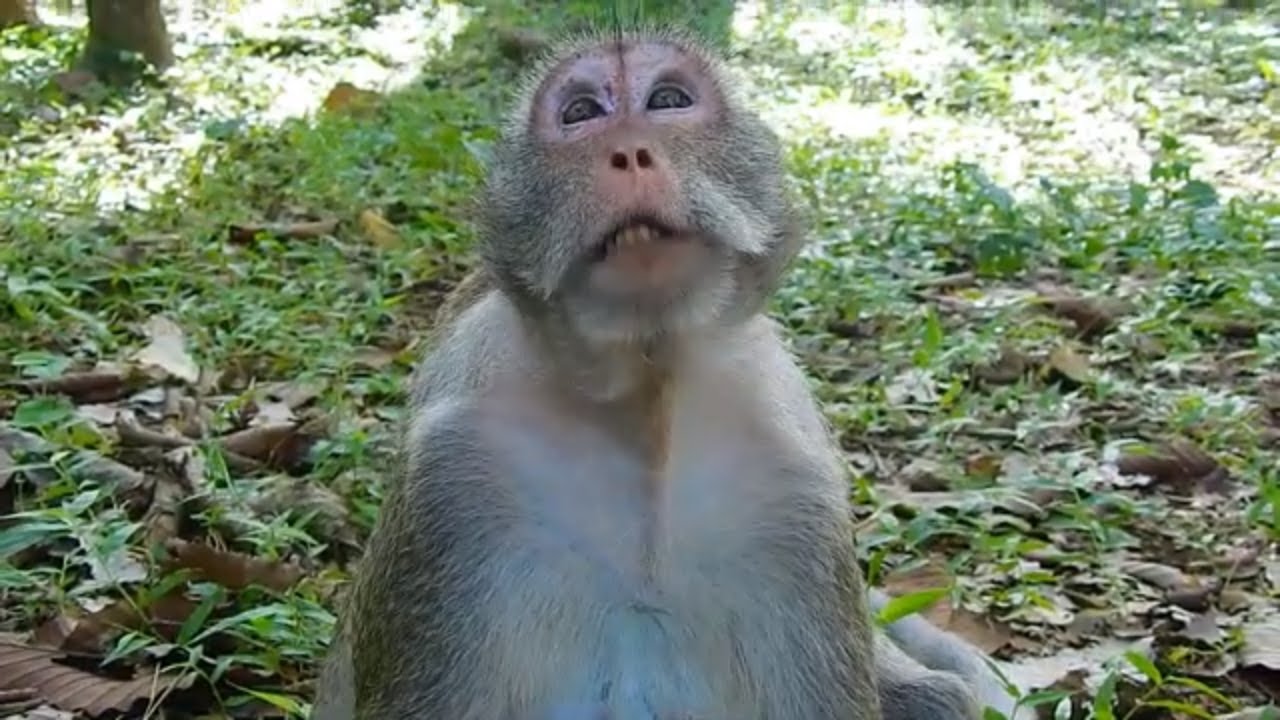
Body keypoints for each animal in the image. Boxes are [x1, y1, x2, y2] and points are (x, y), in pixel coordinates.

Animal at [312, 24, 1019, 720]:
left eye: (668, 100)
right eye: (581, 113)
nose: (630, 150)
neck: (647, 395)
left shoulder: (799, 494)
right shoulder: (452, 482)